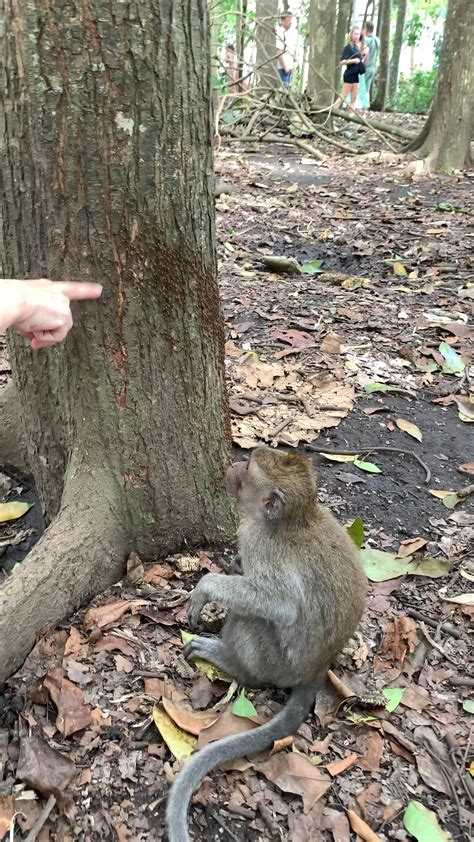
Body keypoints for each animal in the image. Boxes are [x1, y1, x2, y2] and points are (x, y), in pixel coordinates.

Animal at [166, 447, 367, 842]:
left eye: (247, 468)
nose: (233, 464)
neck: (293, 522)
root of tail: (316, 671)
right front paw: (233, 564)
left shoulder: (261, 542)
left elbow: (280, 604)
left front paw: (206, 587)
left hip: (275, 662)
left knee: (252, 620)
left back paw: (229, 660)